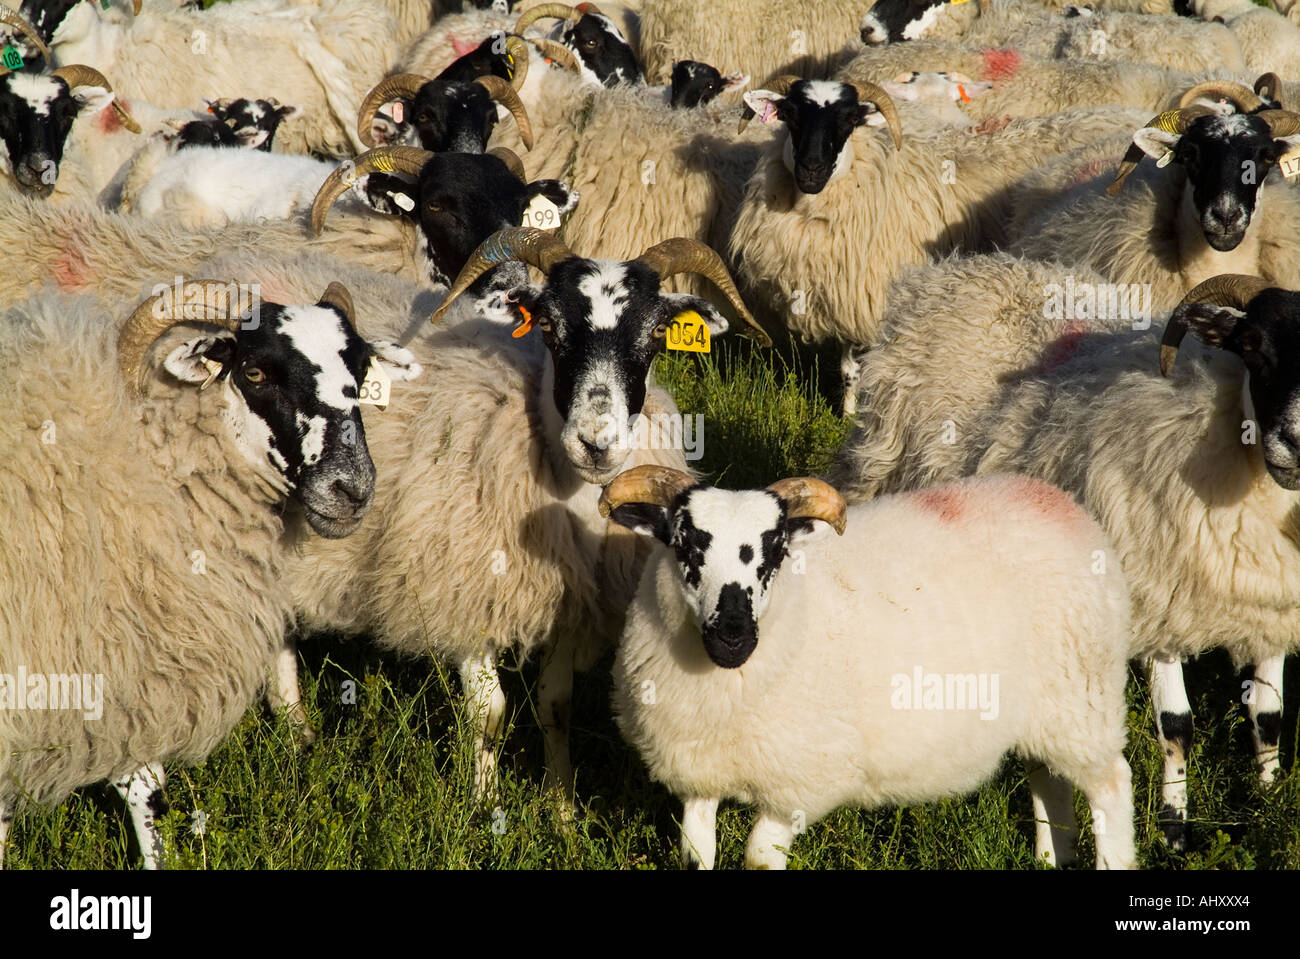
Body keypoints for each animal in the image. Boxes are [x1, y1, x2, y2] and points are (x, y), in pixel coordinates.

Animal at [601, 465, 1136, 870]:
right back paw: (1053, 858)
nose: (733, 634)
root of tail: (1059, 501)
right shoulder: (698, 774)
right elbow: (696, 856)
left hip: (1082, 696)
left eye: (777, 549)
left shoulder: (800, 782)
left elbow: (758, 857)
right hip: (1046, 714)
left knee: (1111, 785)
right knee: (1049, 780)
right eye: (684, 544)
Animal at [828, 258, 1300, 848]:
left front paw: (1269, 803)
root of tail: (963, 269)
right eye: (1253, 345)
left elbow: (1268, 715)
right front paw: (1172, 830)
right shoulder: (1152, 592)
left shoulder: (1272, 603)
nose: (1292, 444)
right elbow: (1177, 725)